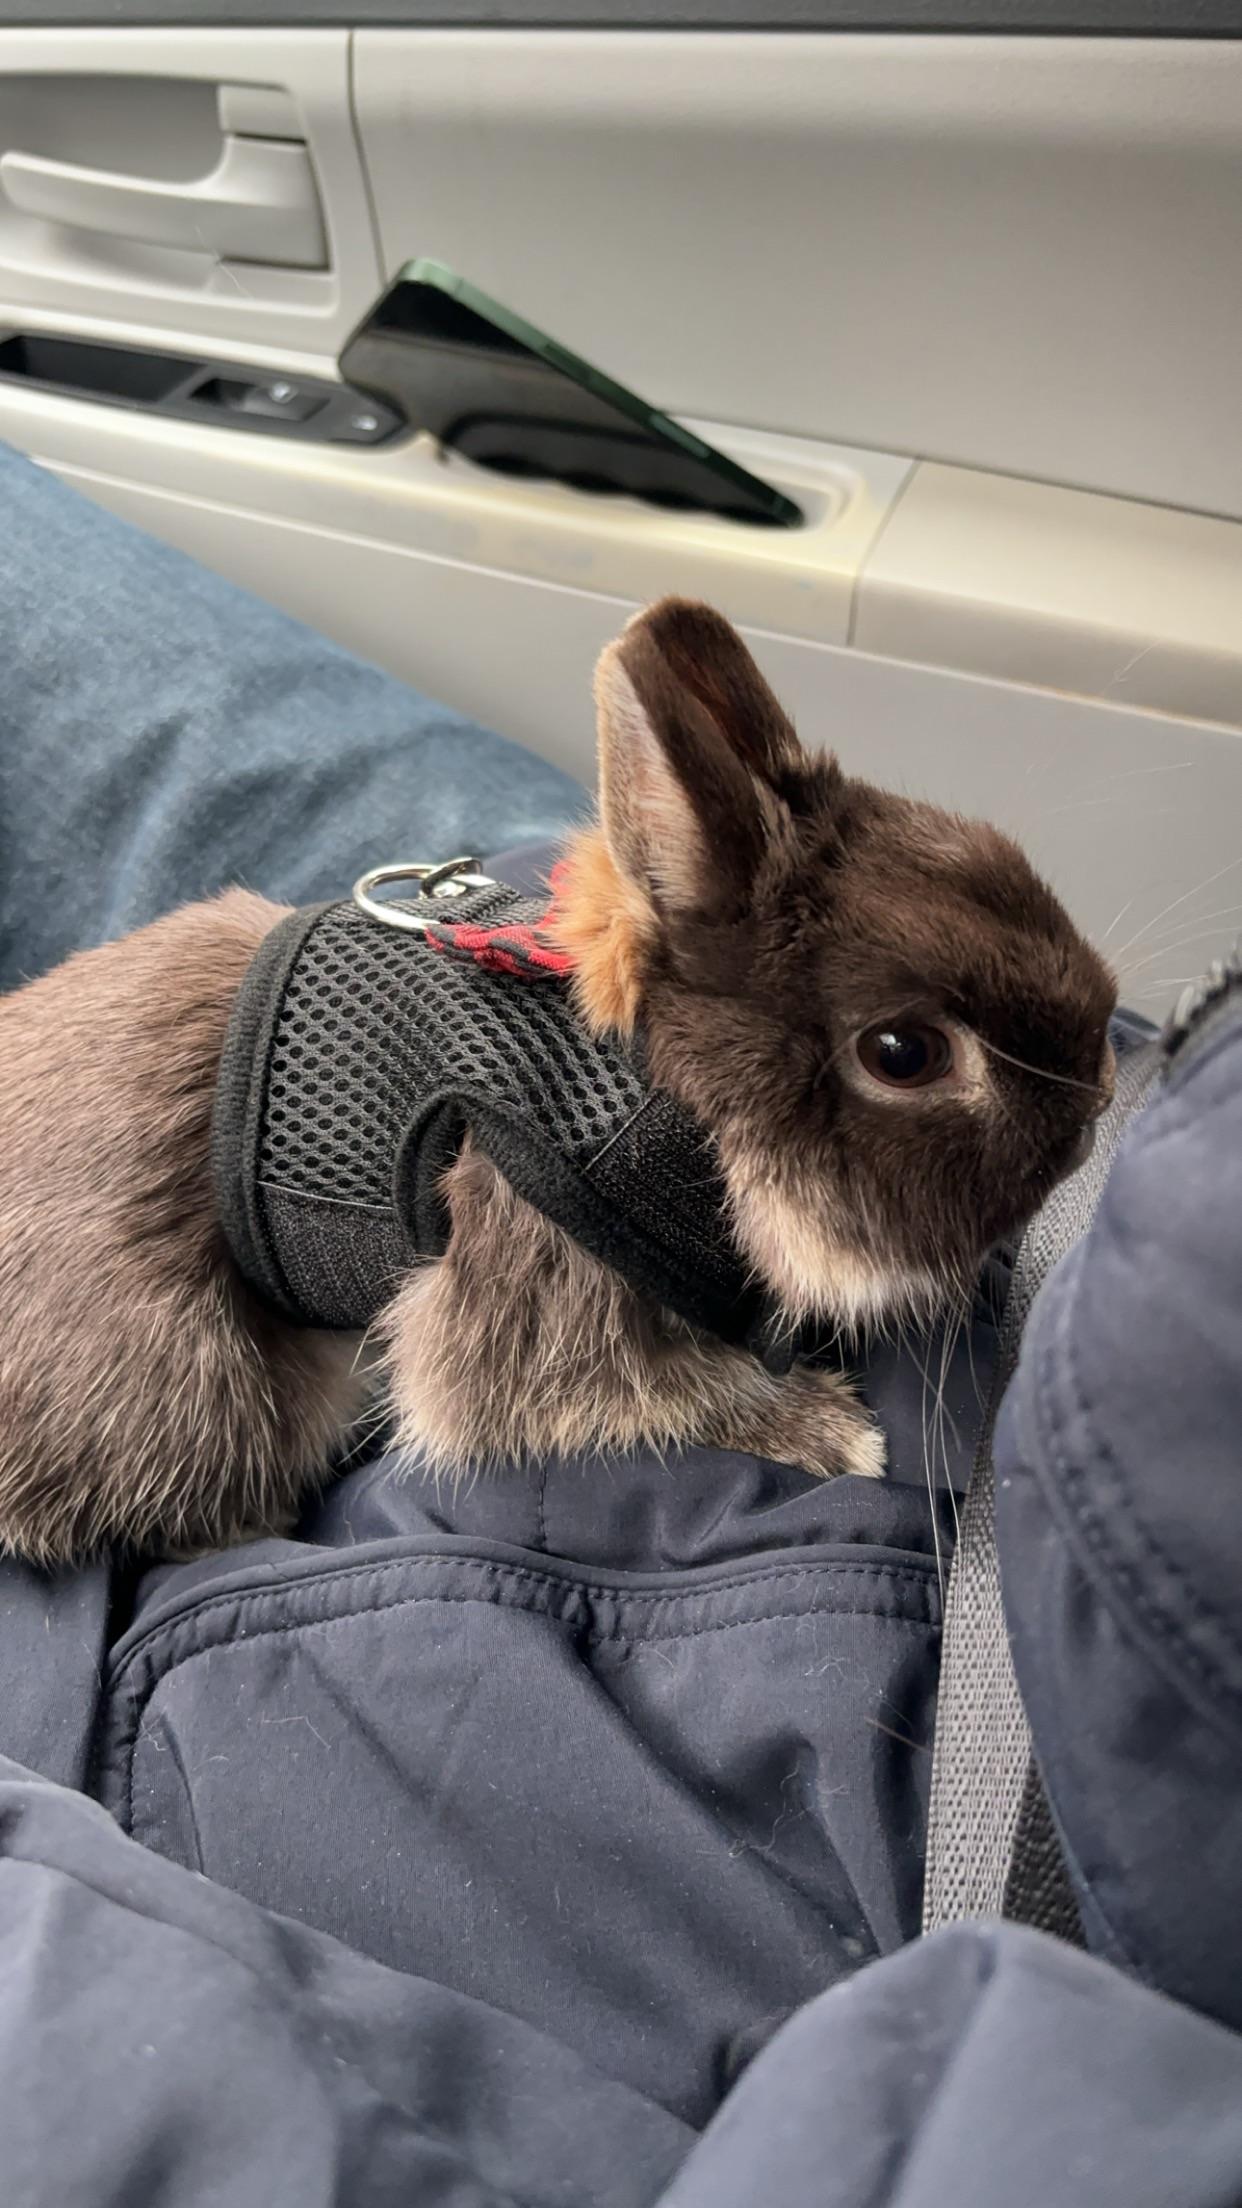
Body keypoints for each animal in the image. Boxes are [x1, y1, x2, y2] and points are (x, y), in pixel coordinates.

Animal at [0, 598, 1117, 1565]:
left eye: (1001, 860)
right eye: (903, 1054)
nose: (1103, 1090)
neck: (666, 1096)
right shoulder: (528, 1285)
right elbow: (656, 1393)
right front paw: (839, 1433)